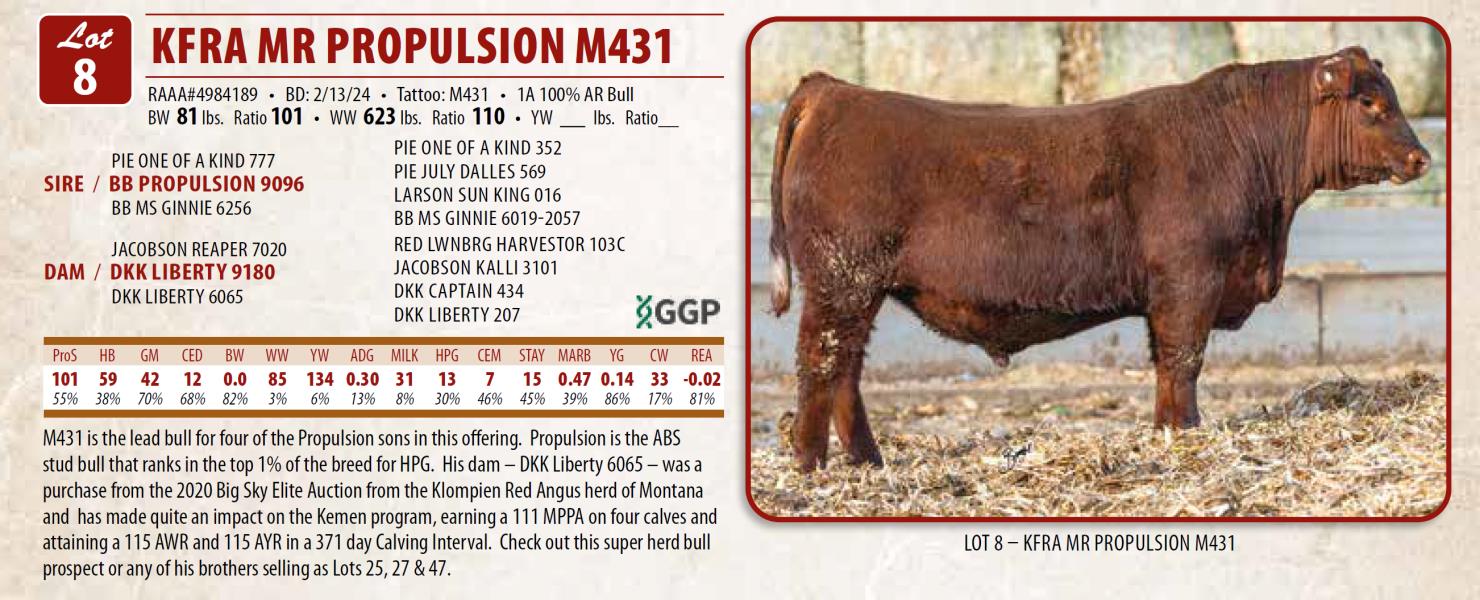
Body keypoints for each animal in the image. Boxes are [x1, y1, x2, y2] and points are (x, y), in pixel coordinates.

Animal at [768, 47, 1431, 472]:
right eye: (1370, 104)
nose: (1422, 157)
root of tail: (834, 90)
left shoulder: (1169, 292)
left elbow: (1165, 364)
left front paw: (1166, 433)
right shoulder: (1190, 280)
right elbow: (1183, 361)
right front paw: (1186, 434)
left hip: (858, 288)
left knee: (846, 368)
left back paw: (866, 461)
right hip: (841, 279)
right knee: (819, 361)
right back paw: (809, 463)